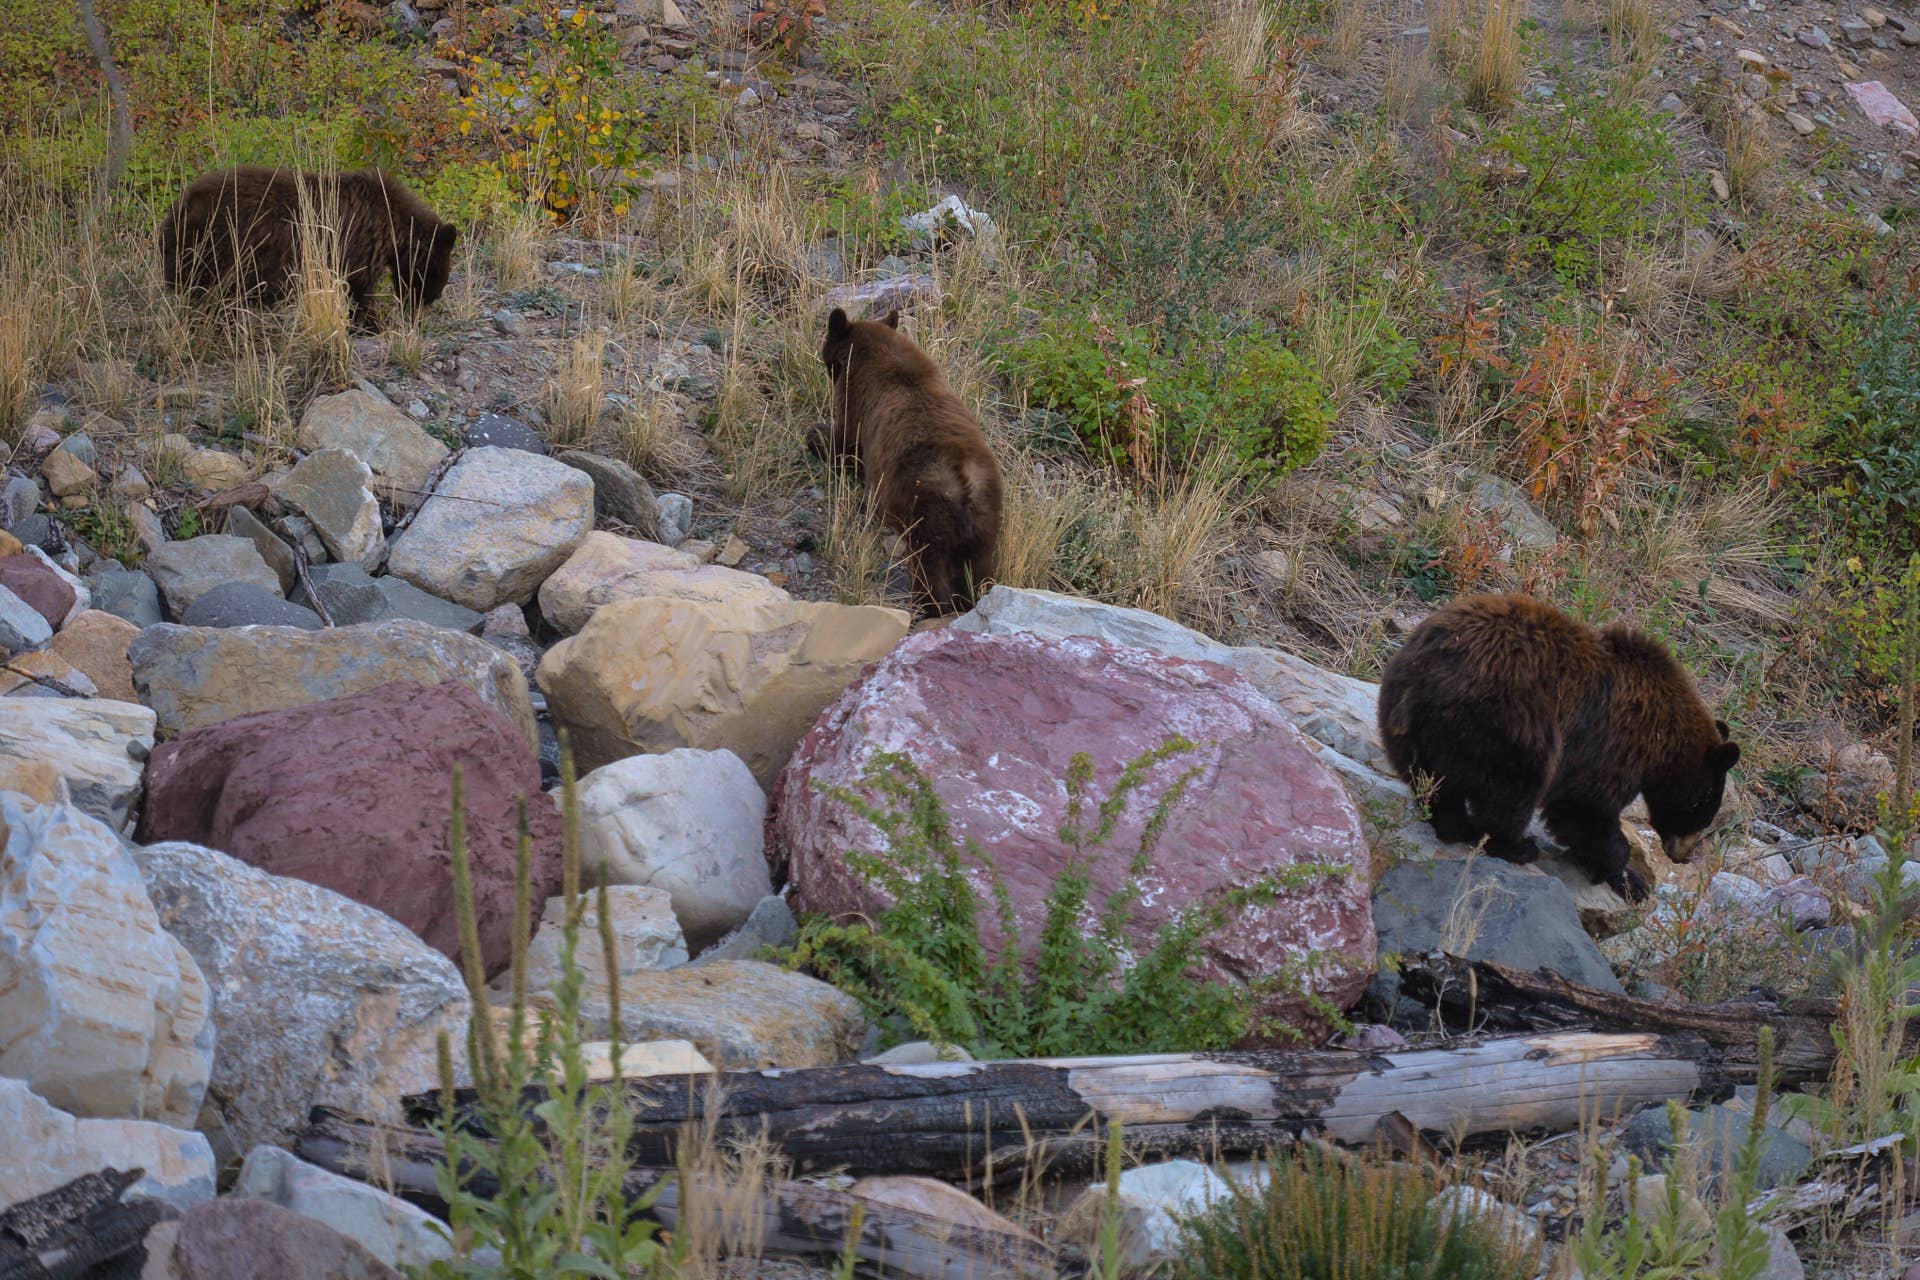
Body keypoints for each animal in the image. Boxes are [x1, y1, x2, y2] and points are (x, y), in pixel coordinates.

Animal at [158, 166, 458, 328]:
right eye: (438, 274)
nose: (426, 304)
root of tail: (181, 205)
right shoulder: (358, 246)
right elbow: (360, 288)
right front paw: (372, 322)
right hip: (214, 247)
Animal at [817, 307, 1004, 614]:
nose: (829, 370)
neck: (881, 350)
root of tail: (964, 483)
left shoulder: (855, 400)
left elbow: (846, 438)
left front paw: (817, 437)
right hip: (985, 527)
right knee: (979, 571)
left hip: (925, 515)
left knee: (929, 569)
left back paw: (925, 606)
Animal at [1377, 592, 1740, 903]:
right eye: (1705, 811)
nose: (1683, 855)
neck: (1663, 744)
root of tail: (1425, 681)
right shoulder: (1612, 748)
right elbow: (1583, 809)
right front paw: (1624, 874)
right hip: (1509, 727)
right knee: (1510, 793)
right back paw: (1516, 846)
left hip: (1411, 725)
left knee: (1436, 784)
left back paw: (1457, 826)